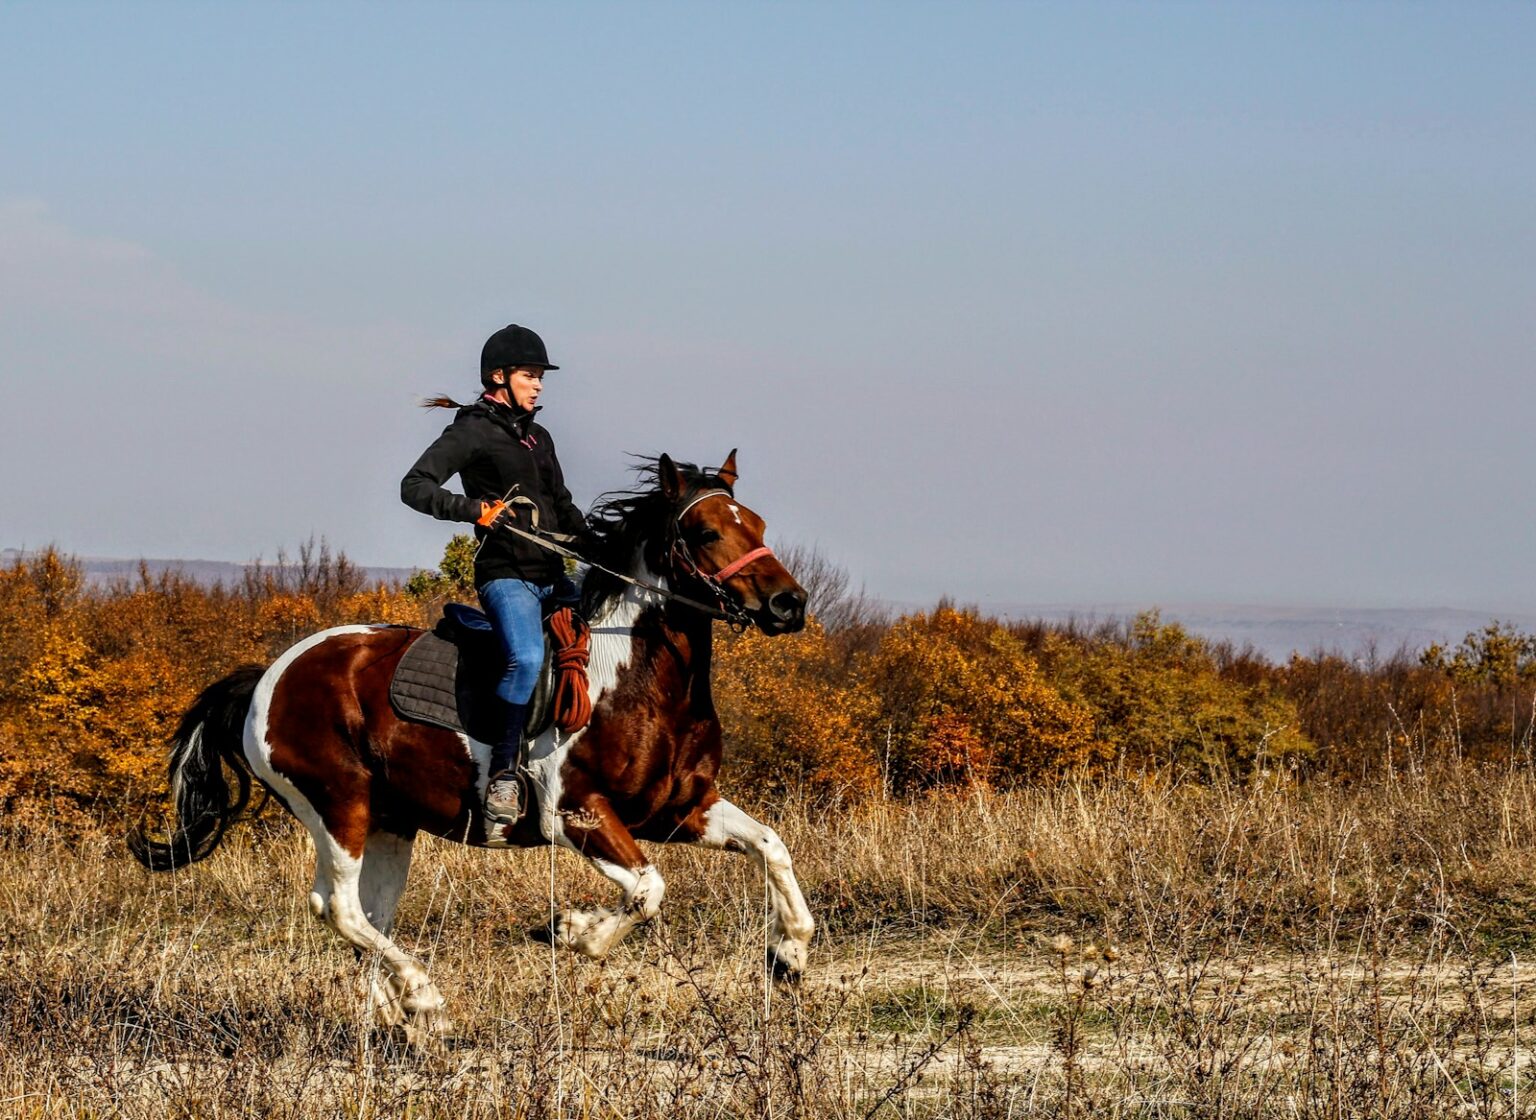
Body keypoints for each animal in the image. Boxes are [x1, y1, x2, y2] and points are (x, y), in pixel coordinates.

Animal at [128, 451, 814, 1040]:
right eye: (704, 532)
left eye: (756, 524)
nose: (790, 603)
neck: (634, 676)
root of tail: (269, 676)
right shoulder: (577, 814)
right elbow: (648, 891)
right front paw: (571, 931)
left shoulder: (680, 810)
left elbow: (771, 847)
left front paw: (789, 953)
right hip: (337, 804)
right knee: (339, 907)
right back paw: (424, 998)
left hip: (390, 822)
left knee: (369, 916)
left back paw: (397, 1016)